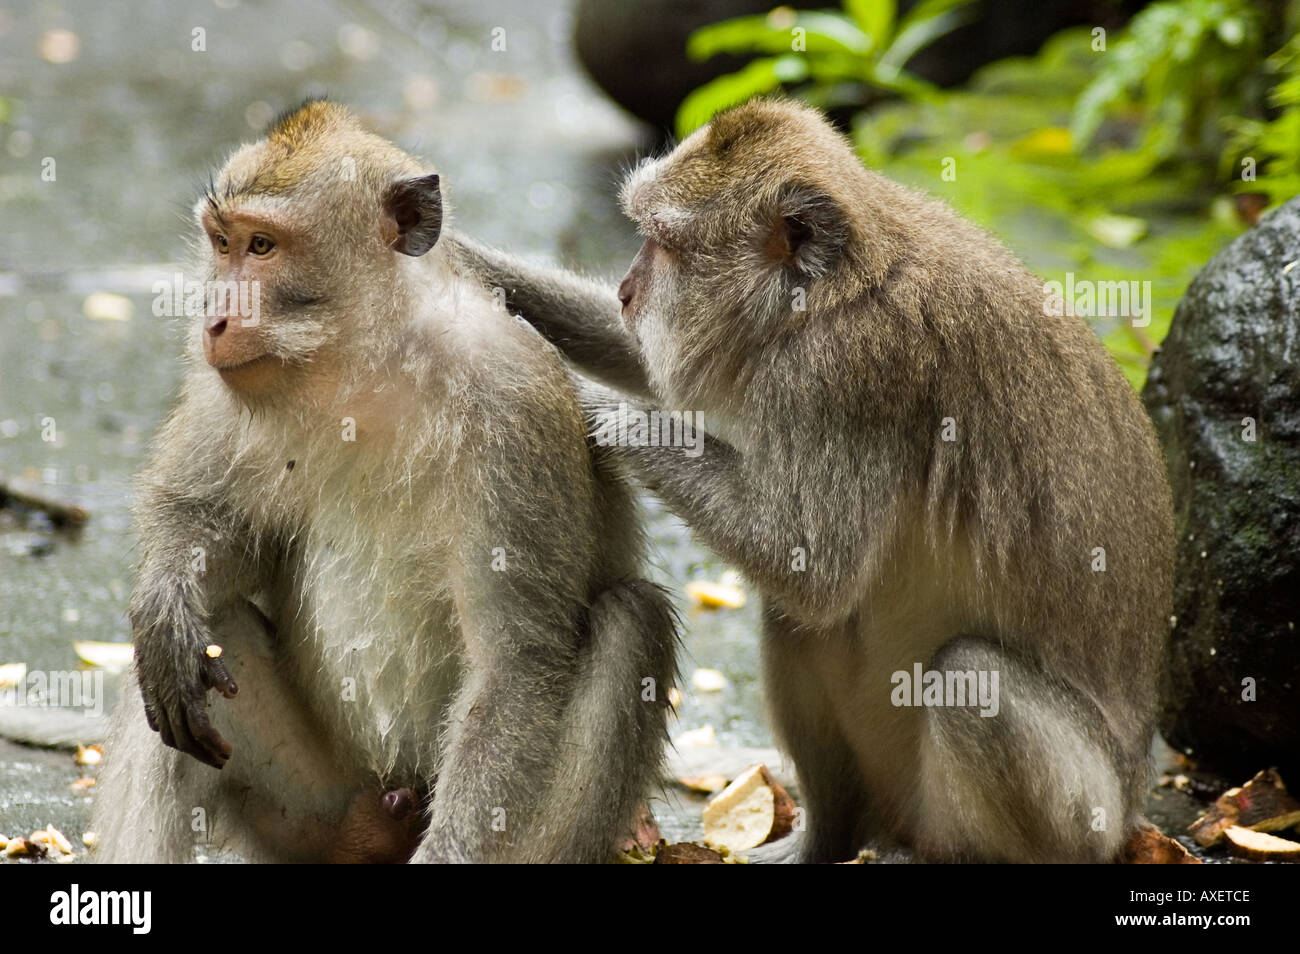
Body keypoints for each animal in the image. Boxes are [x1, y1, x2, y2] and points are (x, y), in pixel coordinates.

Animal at [90, 100, 677, 864]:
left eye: (262, 247)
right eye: (221, 243)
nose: (213, 318)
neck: (365, 362)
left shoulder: (511, 402)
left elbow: (514, 662)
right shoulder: (230, 383)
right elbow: (211, 520)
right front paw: (164, 598)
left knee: (632, 622)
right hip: (313, 817)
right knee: (203, 637)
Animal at [453, 99, 1175, 863]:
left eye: (663, 243)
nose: (625, 290)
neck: (835, 289)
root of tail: (1133, 802)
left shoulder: (846, 376)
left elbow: (814, 569)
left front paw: (590, 402)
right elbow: (647, 365)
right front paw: (468, 263)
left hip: (1083, 816)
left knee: (966, 677)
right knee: (797, 621)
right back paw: (828, 837)